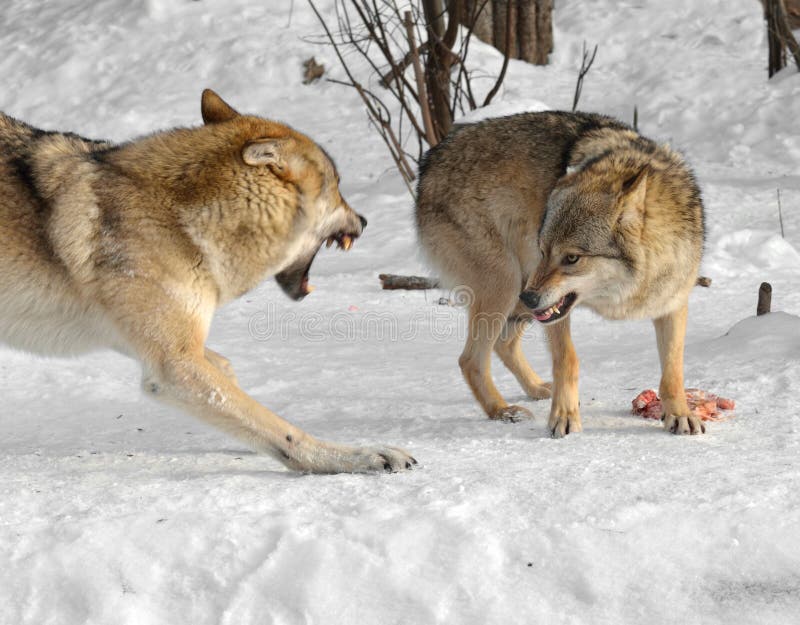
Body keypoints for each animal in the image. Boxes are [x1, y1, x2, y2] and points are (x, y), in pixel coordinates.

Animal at [0, 89, 416, 473]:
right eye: (337, 185)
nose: (364, 220)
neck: (184, 219)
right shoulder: (173, 365)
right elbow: (277, 425)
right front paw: (351, 457)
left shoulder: (140, 339)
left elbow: (231, 382)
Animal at [416, 111, 705, 436]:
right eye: (544, 250)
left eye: (572, 258)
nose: (529, 297)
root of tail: (431, 159)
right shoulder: (554, 312)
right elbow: (567, 360)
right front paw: (564, 417)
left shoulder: (672, 303)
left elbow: (673, 370)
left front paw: (679, 414)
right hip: (507, 285)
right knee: (470, 359)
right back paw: (502, 411)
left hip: (516, 297)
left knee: (503, 344)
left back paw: (537, 389)